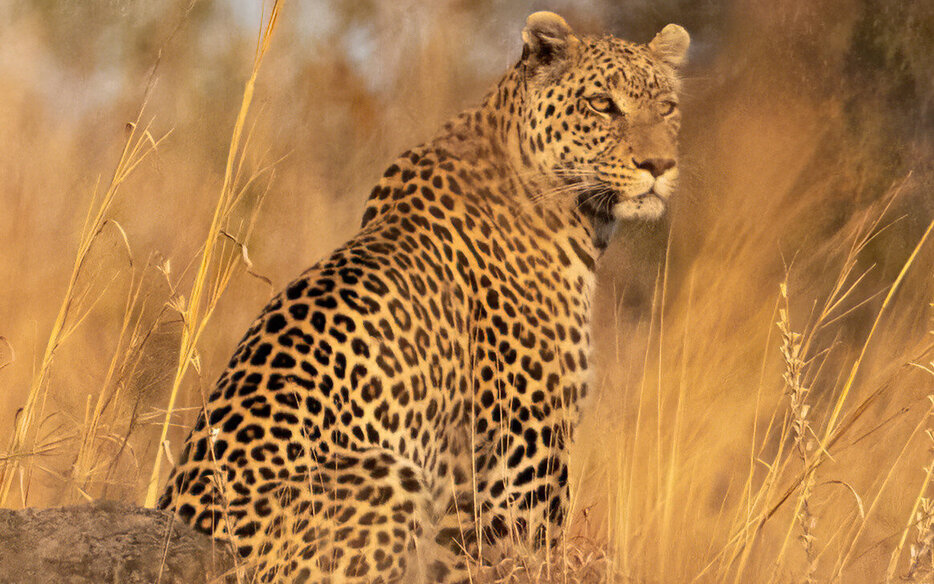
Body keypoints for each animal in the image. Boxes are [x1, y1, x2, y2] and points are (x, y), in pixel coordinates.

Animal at [158, 11, 689, 583]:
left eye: (667, 107)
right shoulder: (521, 456)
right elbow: (526, 557)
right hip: (386, 475)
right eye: (602, 104)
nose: (659, 165)